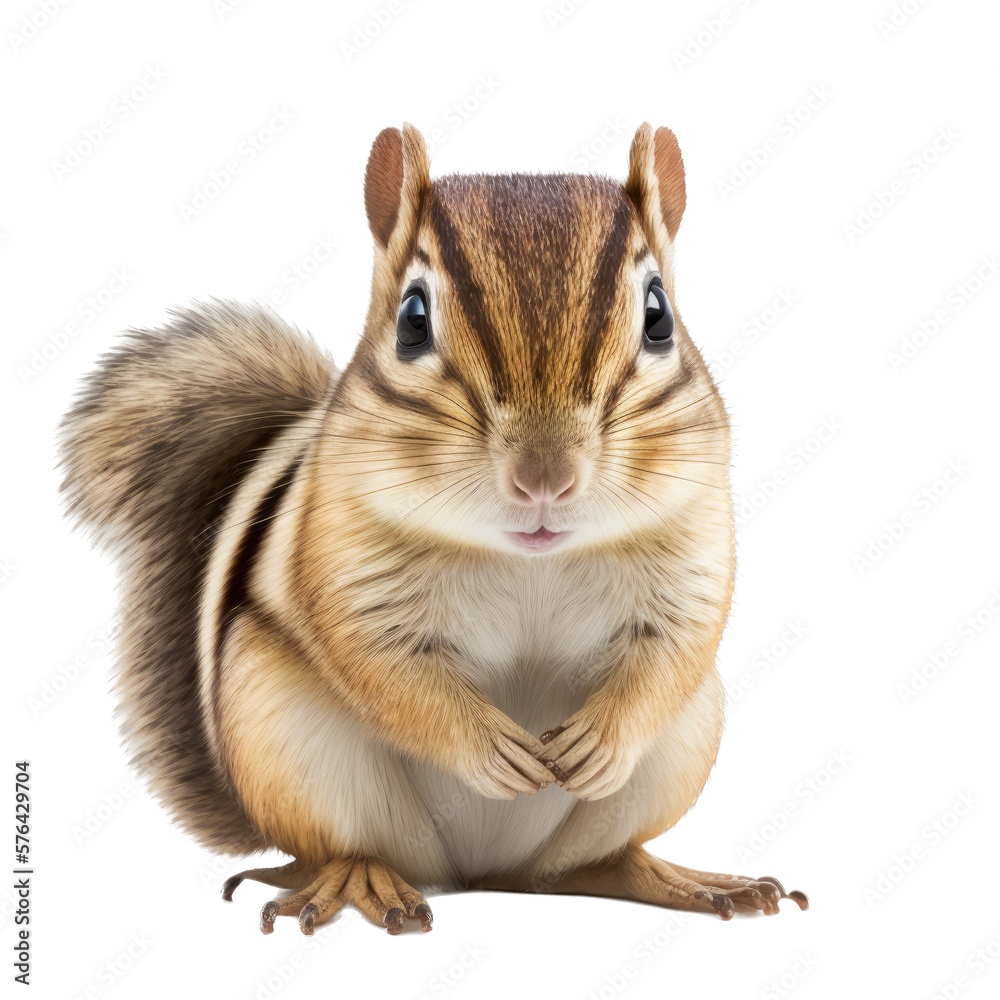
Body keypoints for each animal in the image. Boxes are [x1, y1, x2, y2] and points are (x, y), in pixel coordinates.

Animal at [58, 122, 807, 936]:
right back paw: (355, 883)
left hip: (682, 742)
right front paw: (491, 748)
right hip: (290, 742)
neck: (531, 559)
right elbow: (386, 670)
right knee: (342, 845)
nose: (545, 478)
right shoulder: (347, 572)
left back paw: (684, 879)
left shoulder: (690, 553)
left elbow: (674, 648)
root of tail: (481, 872)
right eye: (413, 321)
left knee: (584, 863)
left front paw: (597, 742)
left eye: (659, 316)